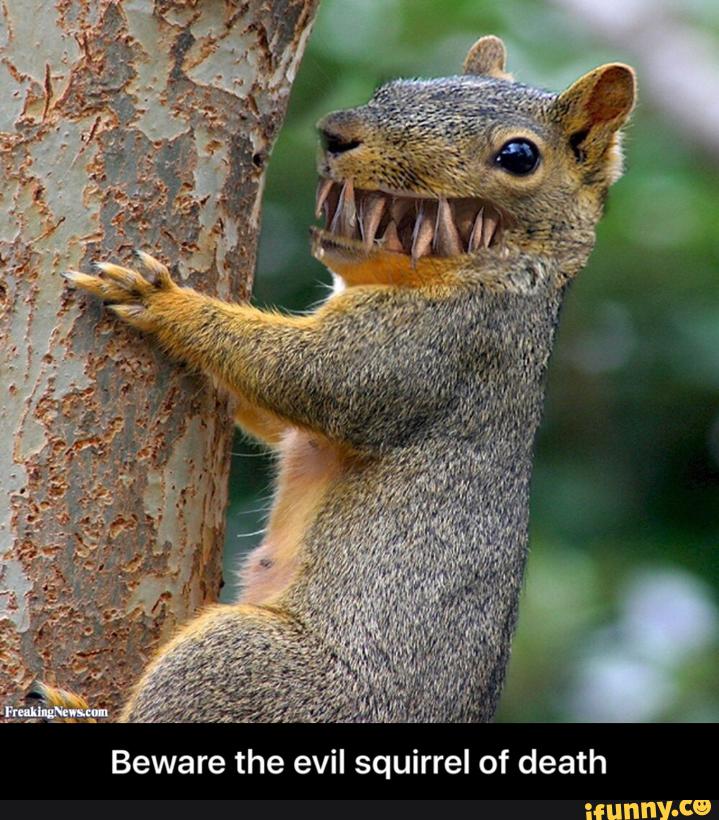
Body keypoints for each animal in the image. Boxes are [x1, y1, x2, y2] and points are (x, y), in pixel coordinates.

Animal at [42, 35, 635, 722]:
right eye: (394, 89)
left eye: (519, 156)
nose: (336, 132)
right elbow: (277, 416)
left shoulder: (439, 349)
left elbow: (316, 379)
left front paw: (165, 303)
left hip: (237, 663)